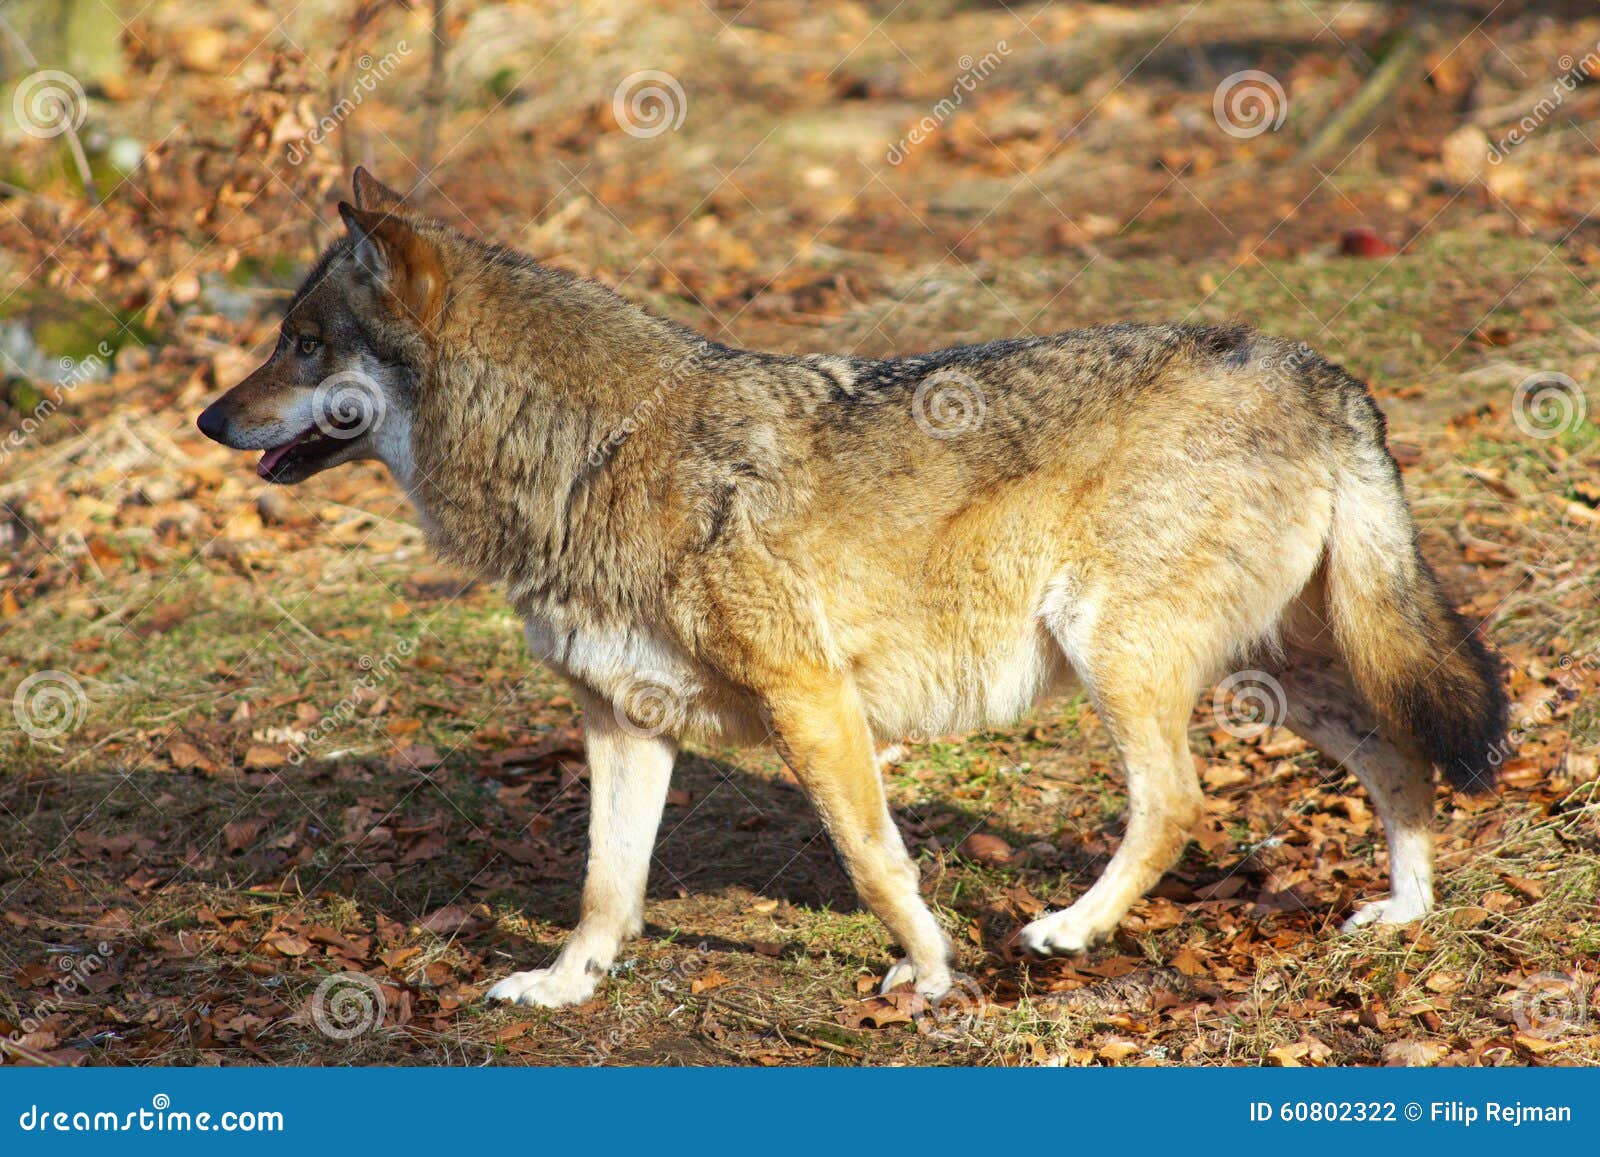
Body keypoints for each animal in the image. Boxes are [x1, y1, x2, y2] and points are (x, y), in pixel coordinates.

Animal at [197, 169, 1507, 1008]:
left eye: (303, 344)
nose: (208, 418)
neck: (584, 454)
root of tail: (1315, 365)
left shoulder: (809, 697)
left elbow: (875, 860)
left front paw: (927, 973)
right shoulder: (620, 723)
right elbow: (604, 888)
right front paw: (566, 987)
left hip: (1121, 657)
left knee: (1180, 802)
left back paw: (1070, 927)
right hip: (1279, 672)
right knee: (1401, 755)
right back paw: (1403, 911)